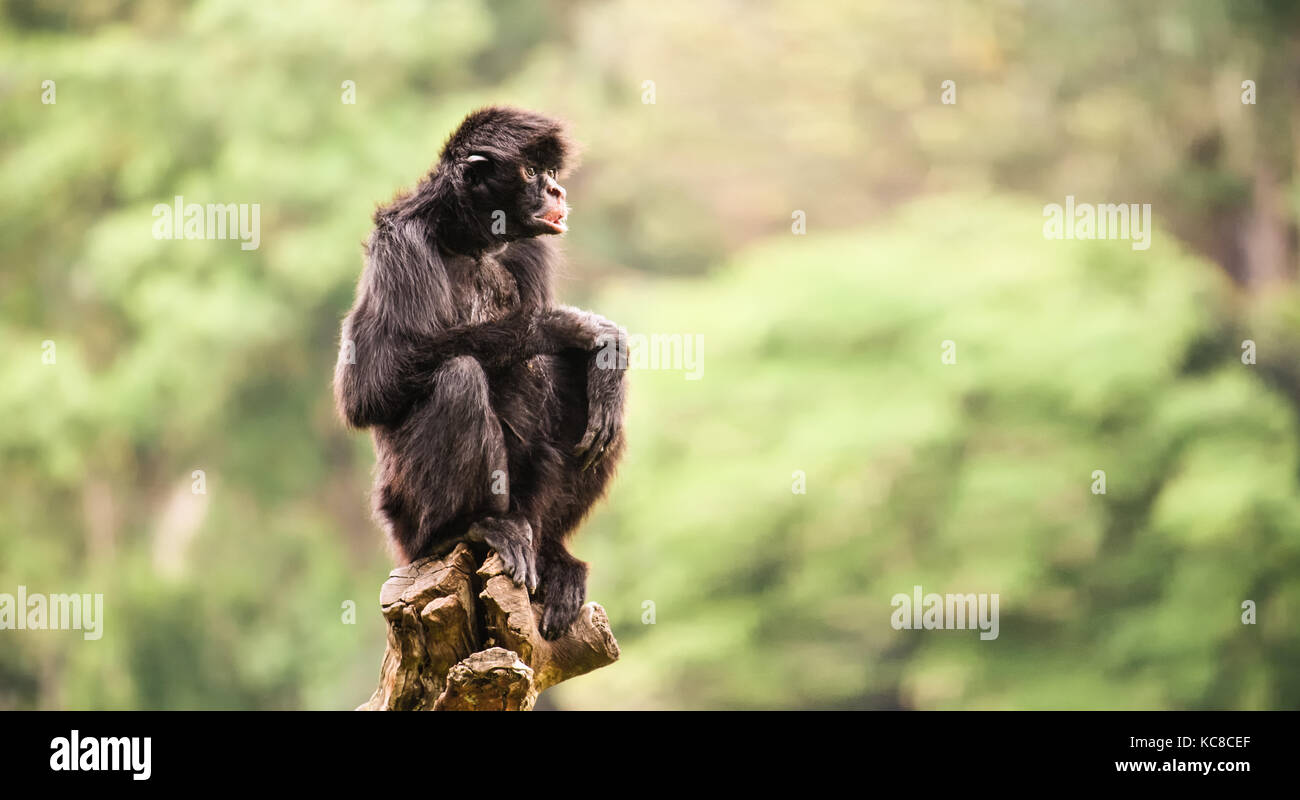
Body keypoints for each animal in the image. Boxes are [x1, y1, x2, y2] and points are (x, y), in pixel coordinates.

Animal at [333, 106, 627, 640]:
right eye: (531, 172)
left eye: (549, 171)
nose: (557, 190)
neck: (470, 243)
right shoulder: (400, 246)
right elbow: (367, 391)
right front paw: (564, 326)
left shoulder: (529, 250)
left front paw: (599, 350)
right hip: (402, 514)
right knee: (458, 376)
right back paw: (468, 527)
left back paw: (552, 555)